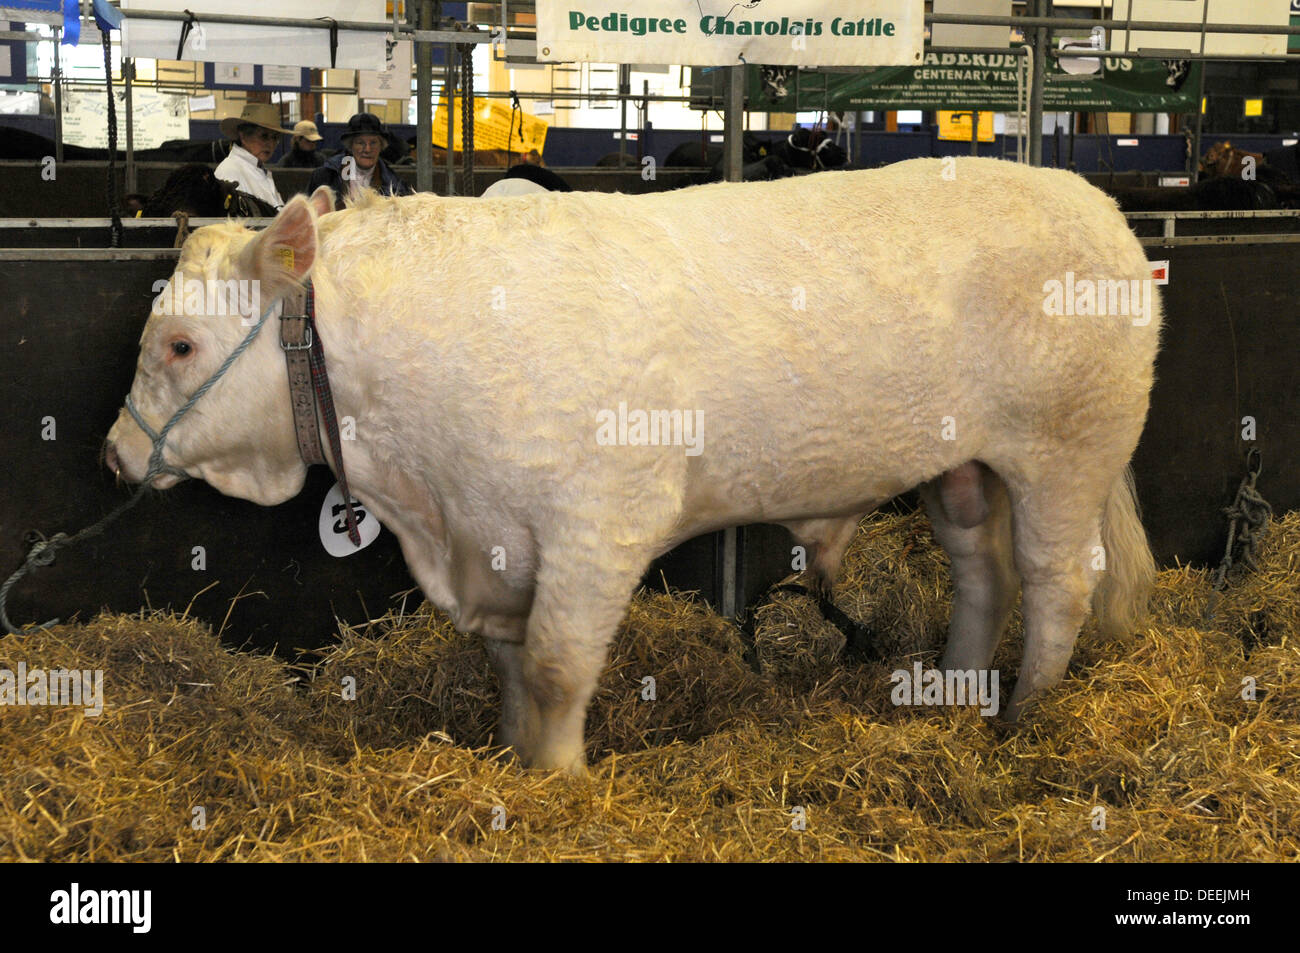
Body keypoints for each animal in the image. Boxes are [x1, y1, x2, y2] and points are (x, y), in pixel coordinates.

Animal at [104, 157, 1160, 776]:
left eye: (181, 345)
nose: (116, 453)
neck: (430, 509)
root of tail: (1098, 203)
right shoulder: (493, 544)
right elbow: (511, 667)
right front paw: (517, 757)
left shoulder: (597, 524)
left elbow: (559, 665)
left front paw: (562, 783)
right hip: (964, 464)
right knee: (981, 573)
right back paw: (950, 688)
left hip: (1070, 445)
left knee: (1058, 581)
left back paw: (1023, 717)